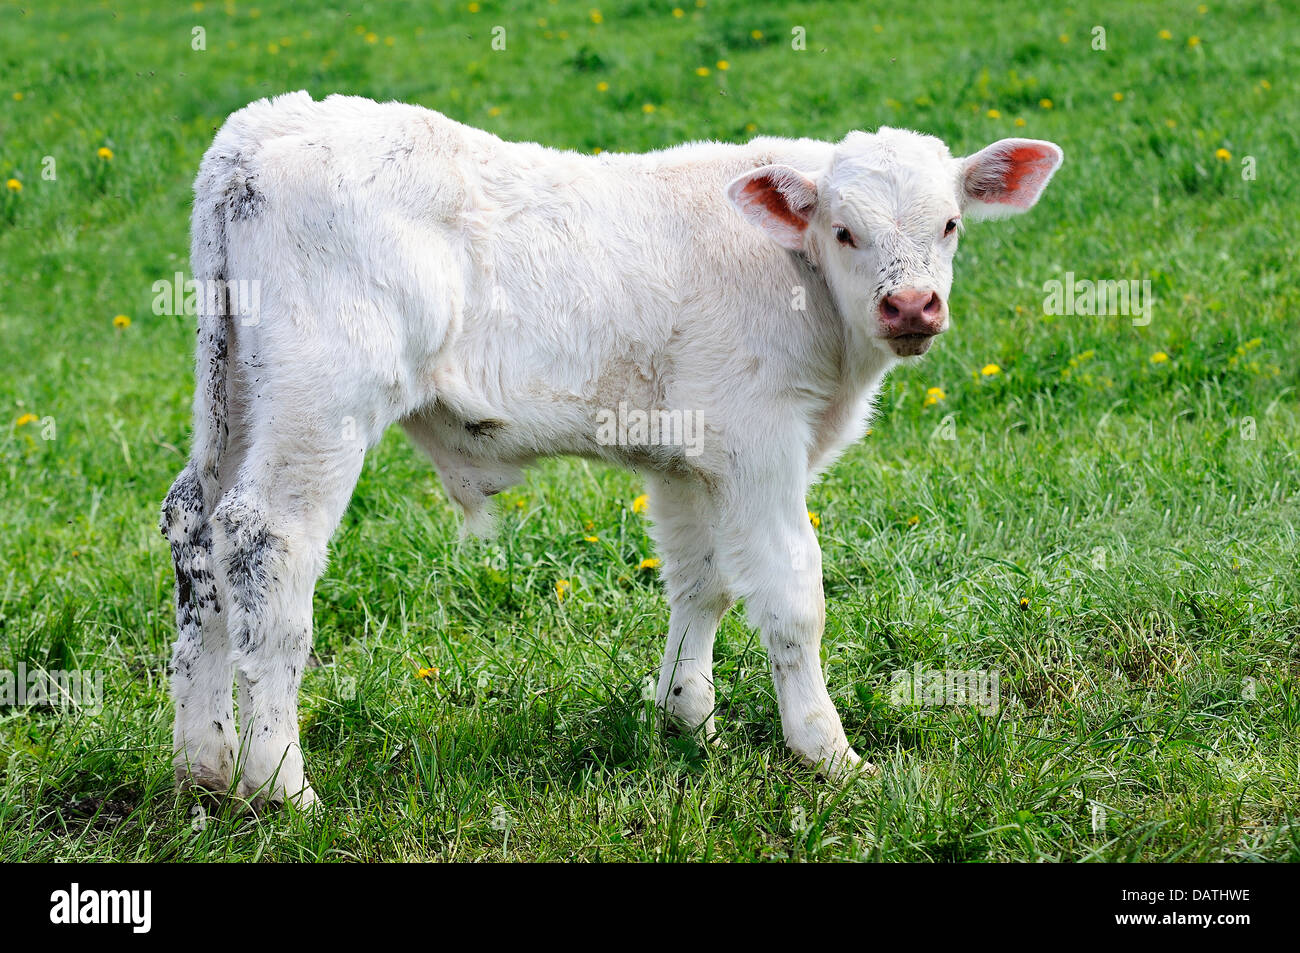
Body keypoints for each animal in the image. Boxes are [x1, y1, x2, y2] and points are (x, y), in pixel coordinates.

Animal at [161, 91, 1062, 809]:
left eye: (950, 224)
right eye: (843, 231)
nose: (912, 305)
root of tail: (257, 130)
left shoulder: (691, 462)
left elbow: (702, 582)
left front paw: (687, 721)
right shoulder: (760, 440)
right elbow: (791, 588)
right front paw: (827, 752)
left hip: (235, 396)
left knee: (193, 528)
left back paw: (204, 761)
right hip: (323, 400)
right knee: (265, 540)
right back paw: (281, 784)